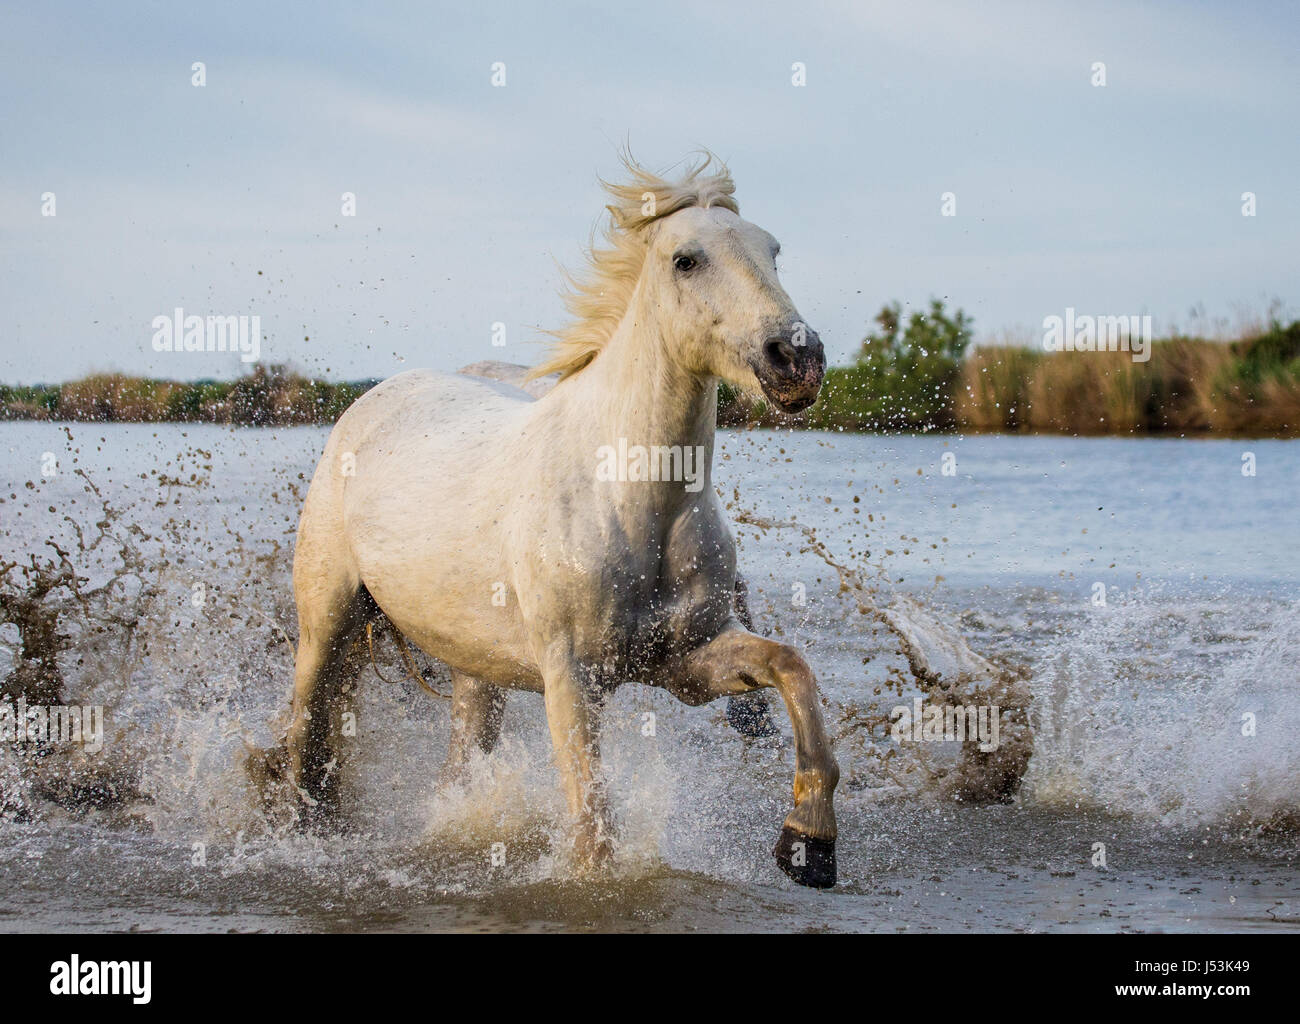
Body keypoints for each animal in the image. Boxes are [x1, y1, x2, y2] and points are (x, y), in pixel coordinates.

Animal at [258, 155, 840, 887]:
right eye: (686, 259)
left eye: (773, 251)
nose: (797, 358)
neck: (633, 502)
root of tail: (374, 398)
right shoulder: (572, 681)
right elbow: (593, 835)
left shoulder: (686, 661)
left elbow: (791, 667)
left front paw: (809, 843)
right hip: (327, 622)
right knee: (307, 743)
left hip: (474, 670)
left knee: (452, 769)